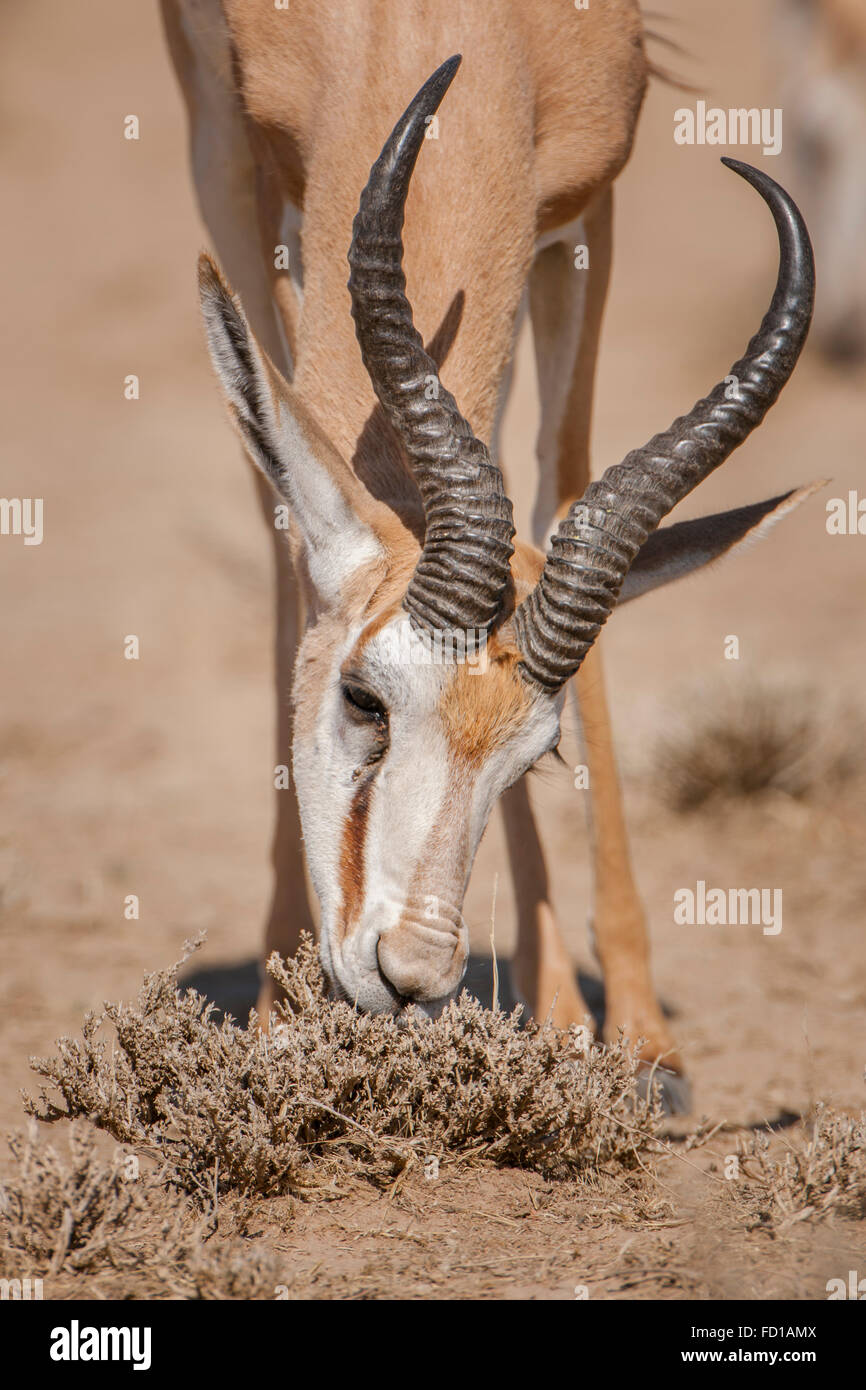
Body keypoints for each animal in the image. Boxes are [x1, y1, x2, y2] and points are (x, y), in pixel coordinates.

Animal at [161, 1, 816, 1106]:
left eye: (536, 755)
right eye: (363, 698)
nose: (407, 976)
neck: (422, 30)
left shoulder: (586, 208)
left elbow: (564, 500)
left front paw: (640, 1046)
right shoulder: (250, 166)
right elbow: (292, 500)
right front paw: (279, 1022)